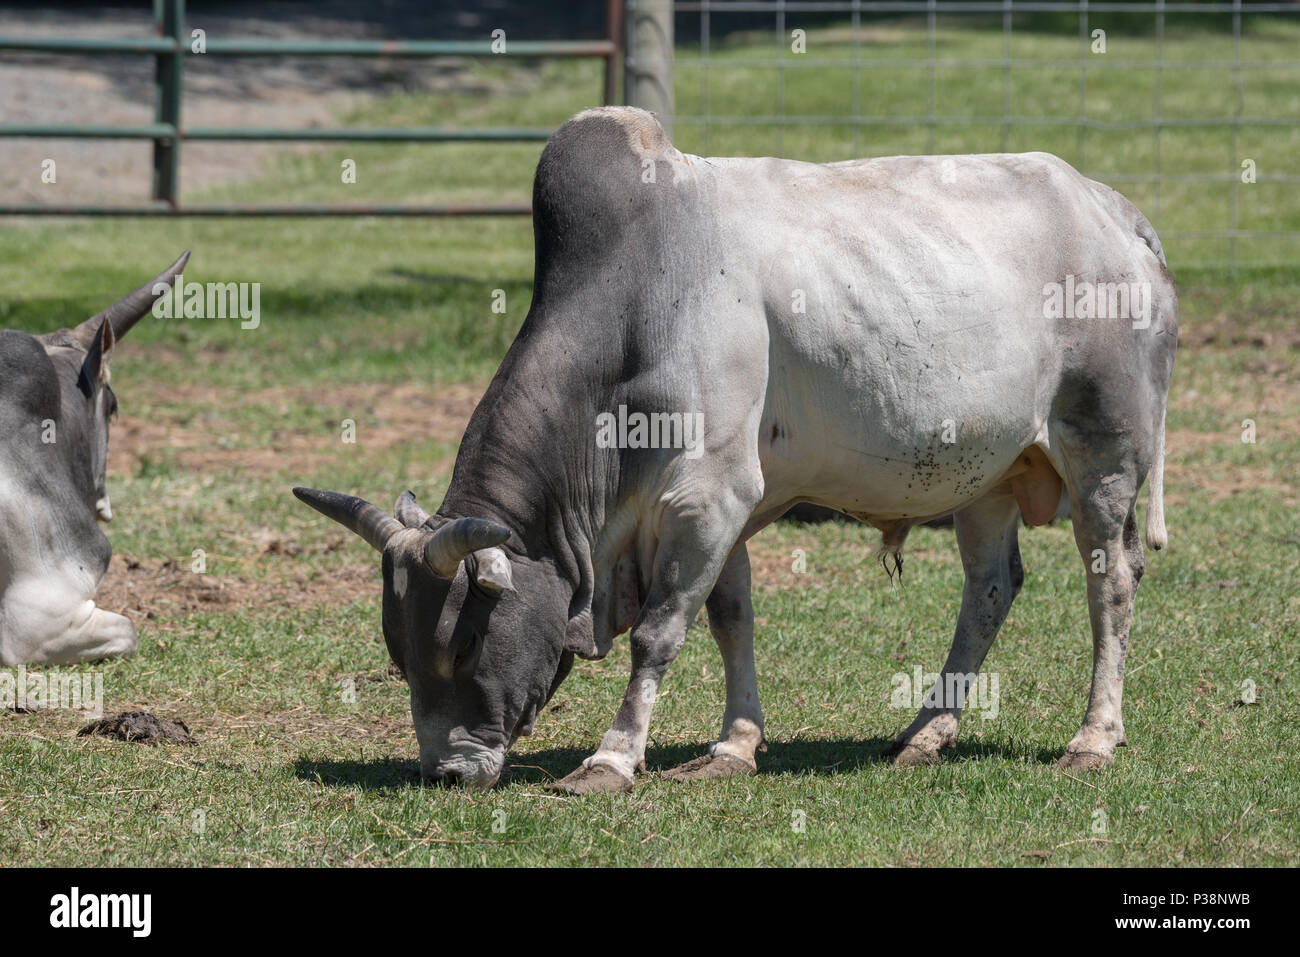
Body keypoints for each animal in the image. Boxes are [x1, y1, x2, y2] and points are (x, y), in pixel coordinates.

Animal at [295, 106, 1176, 792]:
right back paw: (927, 730)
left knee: (1111, 579)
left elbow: (659, 632)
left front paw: (611, 759)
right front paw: (733, 745)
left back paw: (1093, 737)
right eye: (398, 651)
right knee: (991, 587)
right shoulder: (726, 507)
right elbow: (729, 617)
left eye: (467, 638)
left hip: (1104, 453)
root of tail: (1115, 212)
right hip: (988, 477)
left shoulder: (707, 497)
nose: (446, 769)